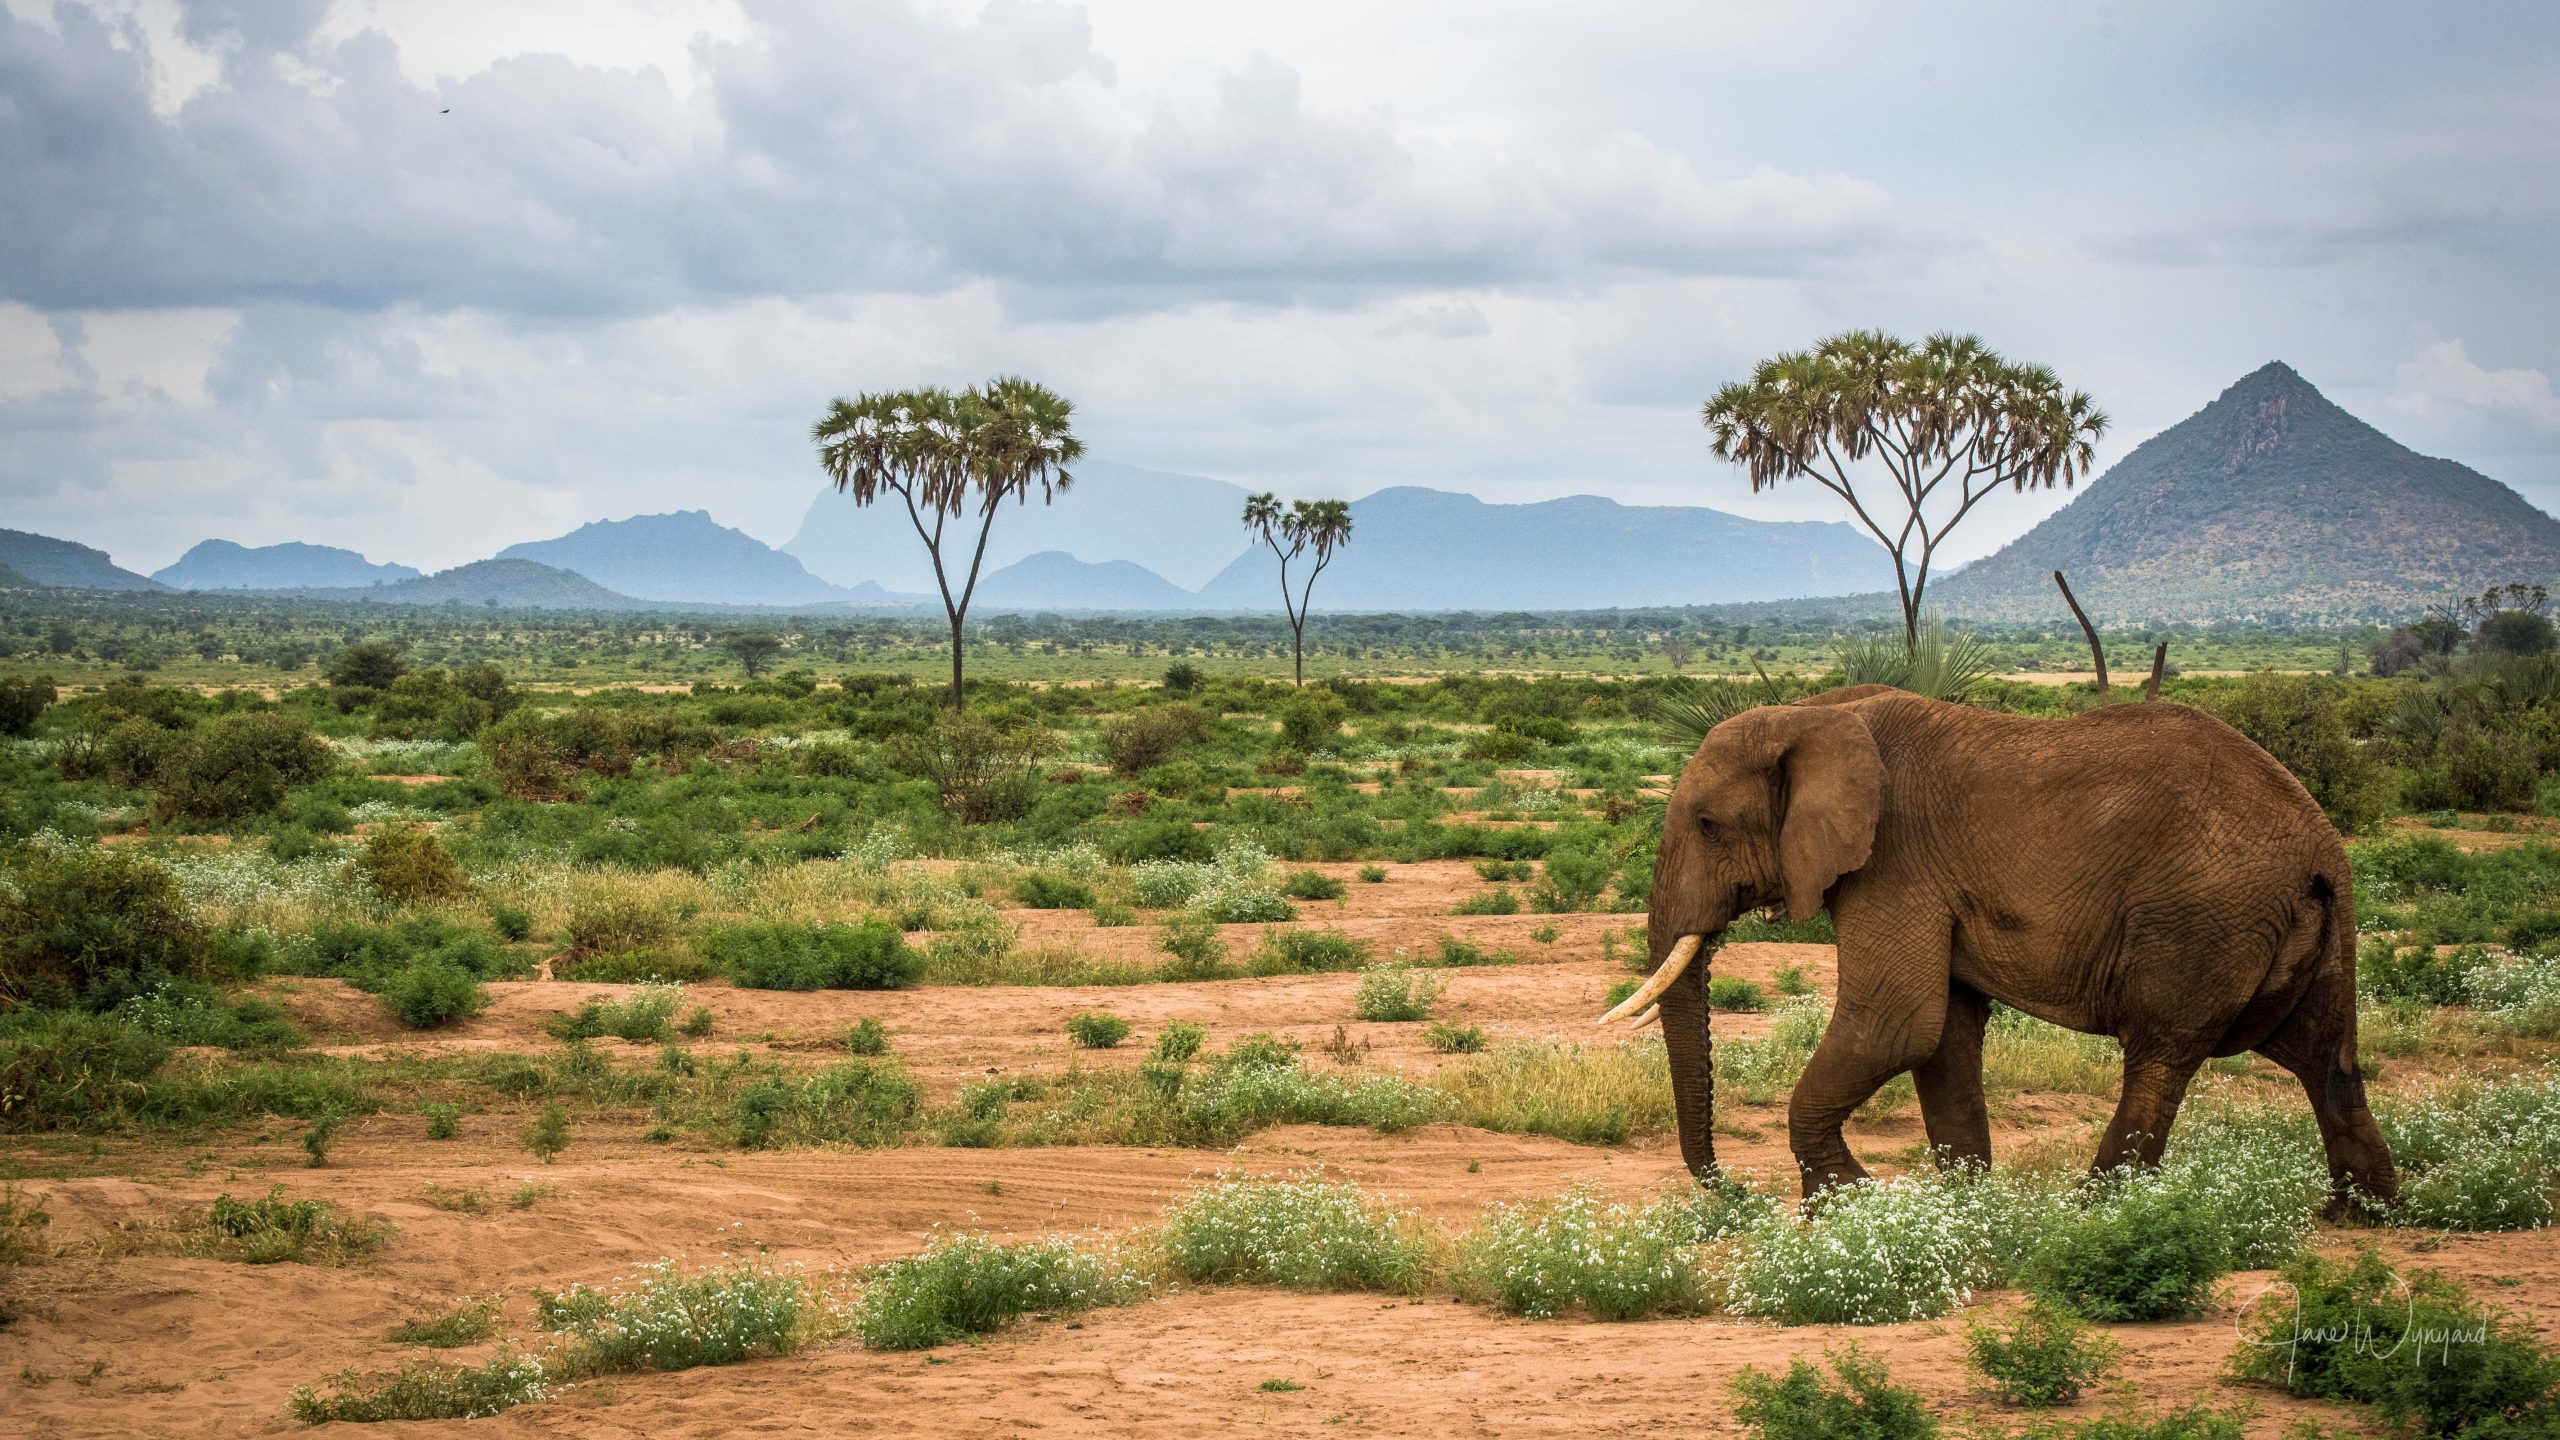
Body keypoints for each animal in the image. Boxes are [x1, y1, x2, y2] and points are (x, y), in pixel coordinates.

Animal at [1608, 684, 2397, 1207]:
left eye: (1707, 824)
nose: (1733, 1192)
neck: (1814, 712)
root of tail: (2322, 843)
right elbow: (1944, 1037)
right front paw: (1965, 1206)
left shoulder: (1896, 862)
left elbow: (1896, 1024)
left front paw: (1849, 1202)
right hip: (2300, 930)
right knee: (2322, 1056)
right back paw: (2362, 1212)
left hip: (2201, 919)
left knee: (2160, 1055)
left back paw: (2092, 1217)